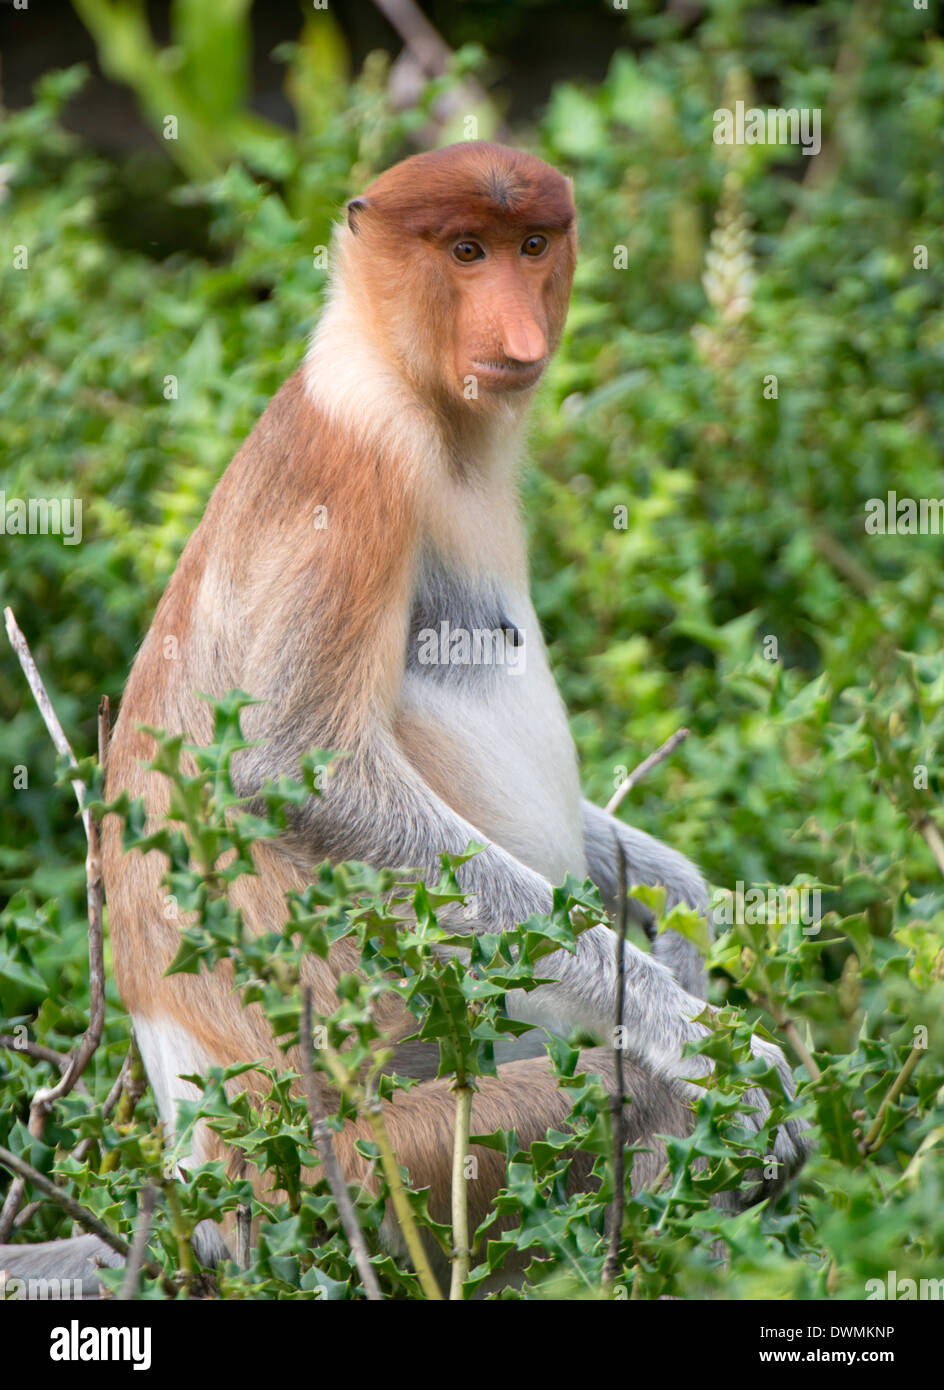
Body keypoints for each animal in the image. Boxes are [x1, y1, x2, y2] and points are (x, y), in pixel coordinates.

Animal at [0, 142, 806, 1293]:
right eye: (463, 252)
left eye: (530, 246)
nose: (518, 334)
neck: (399, 377)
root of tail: (203, 1179)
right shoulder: (364, 469)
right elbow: (292, 768)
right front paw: (707, 1042)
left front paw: (678, 908)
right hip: (369, 1170)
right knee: (623, 1107)